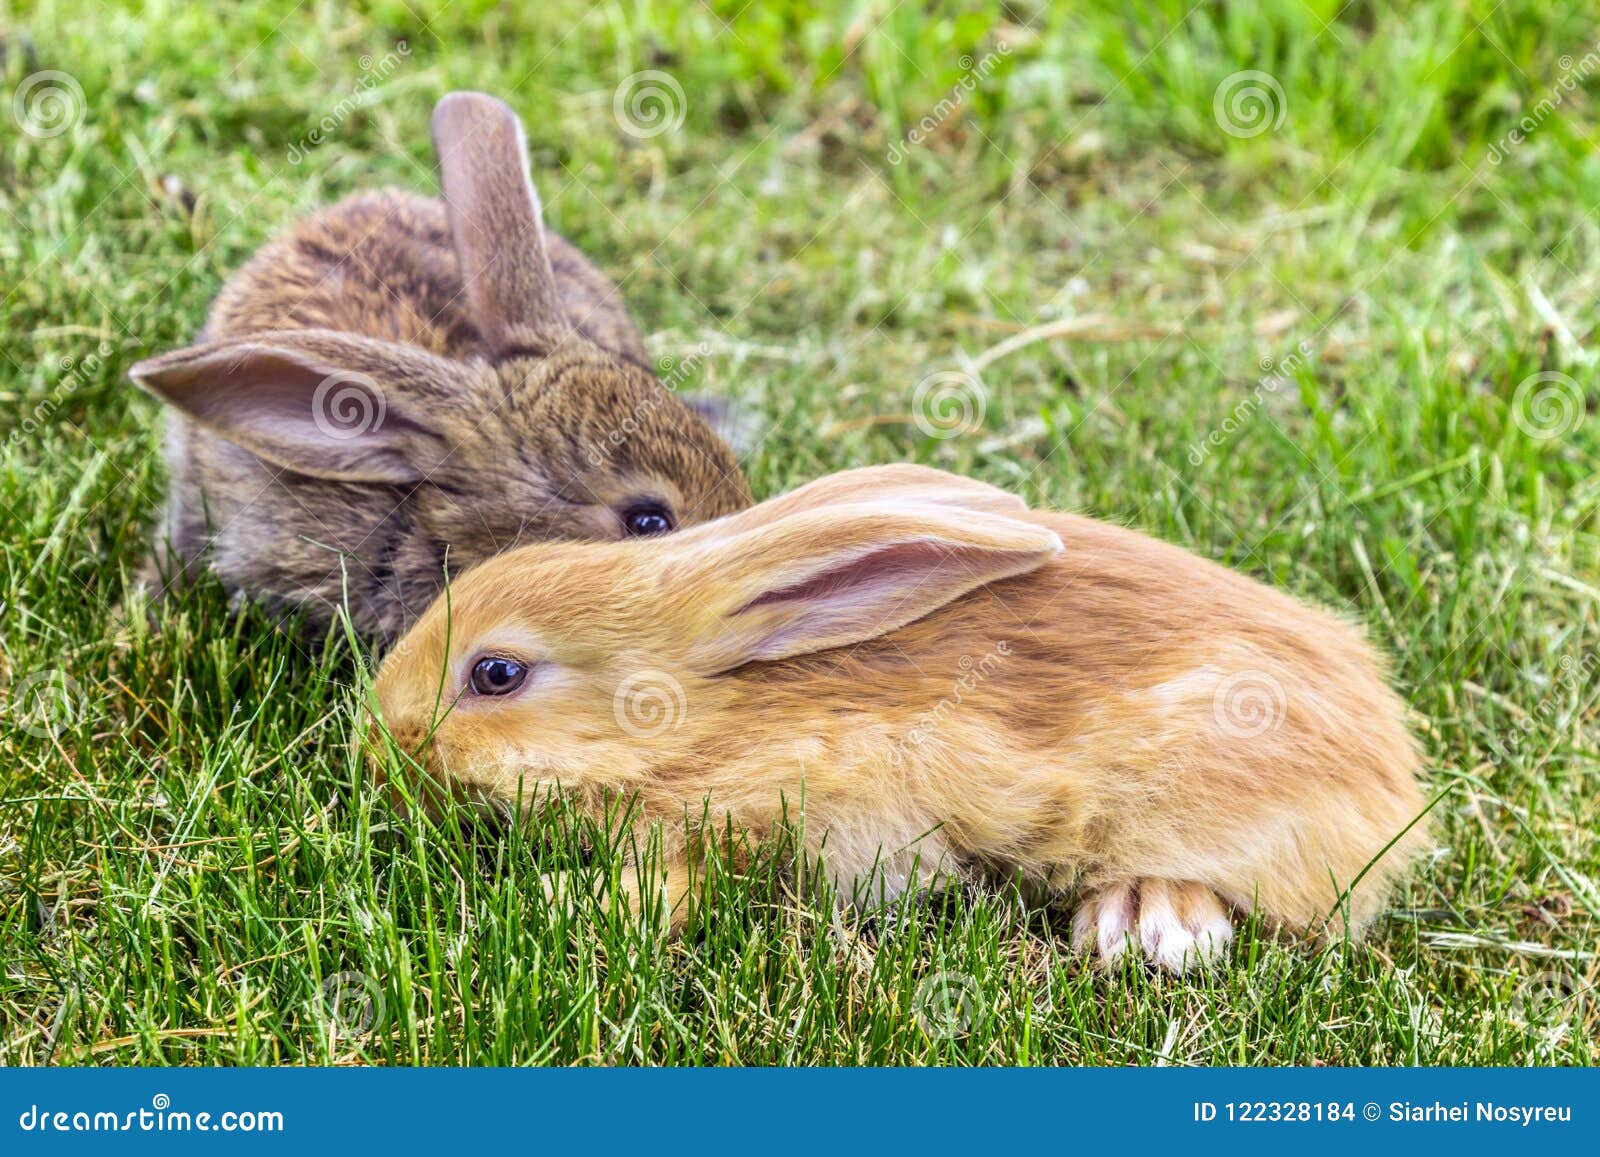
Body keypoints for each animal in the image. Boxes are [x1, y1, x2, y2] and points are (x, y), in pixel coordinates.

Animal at [369, 464, 1430, 972]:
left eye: (495, 673)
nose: (381, 742)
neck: (710, 710)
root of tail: (1390, 767)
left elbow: (678, 882)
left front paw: (559, 903)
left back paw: (1145, 923)